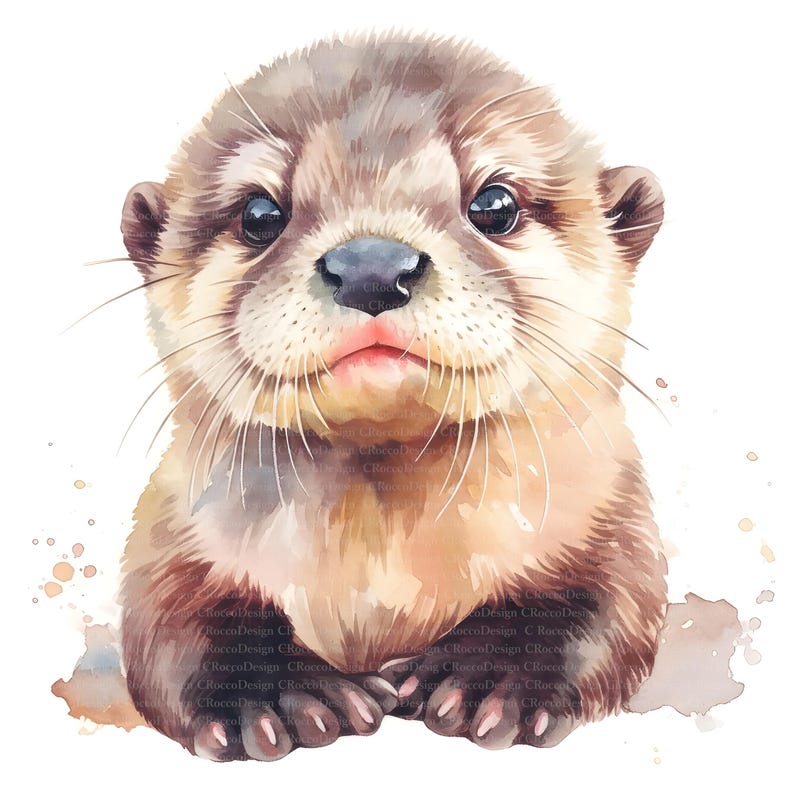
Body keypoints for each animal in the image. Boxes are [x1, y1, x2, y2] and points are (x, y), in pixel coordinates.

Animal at [118, 33, 667, 761]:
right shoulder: (171, 525)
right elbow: (167, 616)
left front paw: (488, 679)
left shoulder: (609, 508)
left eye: (495, 204)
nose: (371, 265)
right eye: (259, 214)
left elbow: (607, 598)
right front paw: (278, 696)